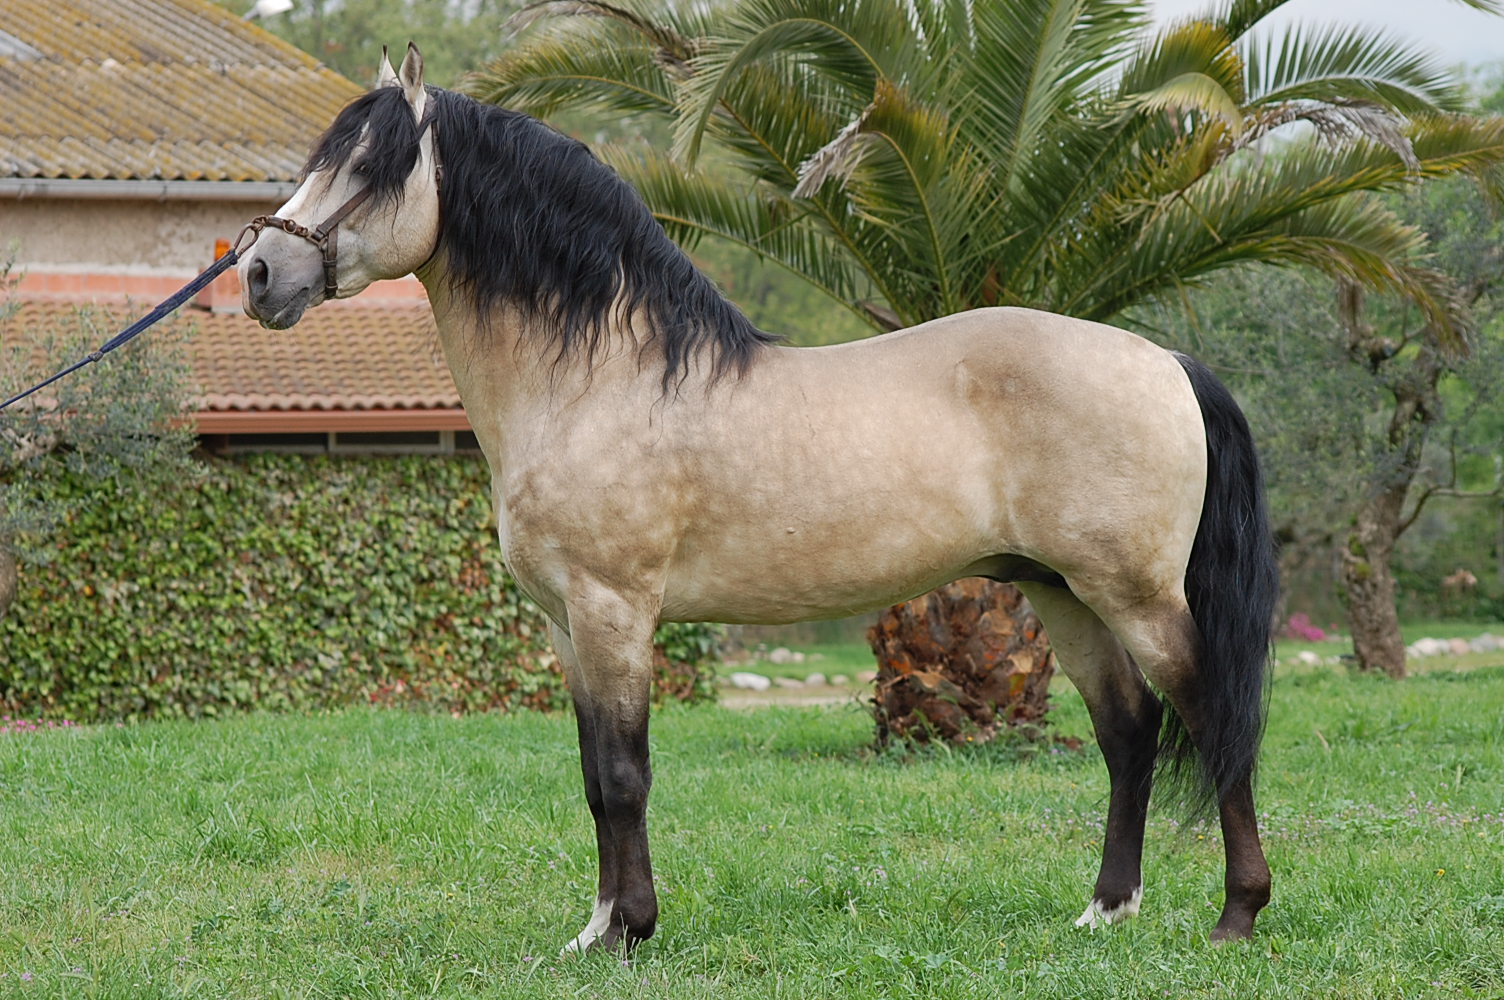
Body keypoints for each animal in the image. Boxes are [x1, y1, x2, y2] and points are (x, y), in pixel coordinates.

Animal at [238, 44, 1279, 952]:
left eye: (367, 168)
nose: (258, 275)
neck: (598, 379)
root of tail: (1164, 361)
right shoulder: (566, 627)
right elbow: (592, 777)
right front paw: (594, 931)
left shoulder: (615, 612)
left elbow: (625, 774)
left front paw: (634, 932)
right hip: (1060, 592)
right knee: (1128, 731)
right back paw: (1106, 911)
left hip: (1135, 594)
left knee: (1212, 719)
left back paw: (1238, 915)